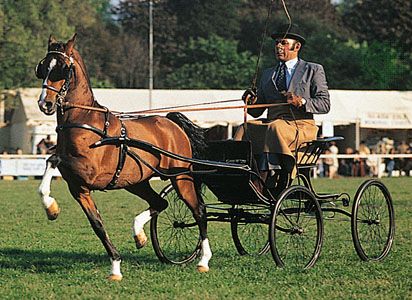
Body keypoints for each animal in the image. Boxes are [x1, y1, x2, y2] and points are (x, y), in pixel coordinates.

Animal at [35, 34, 212, 280]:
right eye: (43, 67)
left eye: (63, 68)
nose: (46, 104)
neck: (84, 121)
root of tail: (171, 124)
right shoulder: (79, 188)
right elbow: (97, 224)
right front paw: (115, 267)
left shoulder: (91, 174)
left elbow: (53, 159)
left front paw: (51, 207)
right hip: (136, 182)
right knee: (161, 202)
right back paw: (139, 233)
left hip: (181, 178)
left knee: (199, 211)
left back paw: (204, 260)